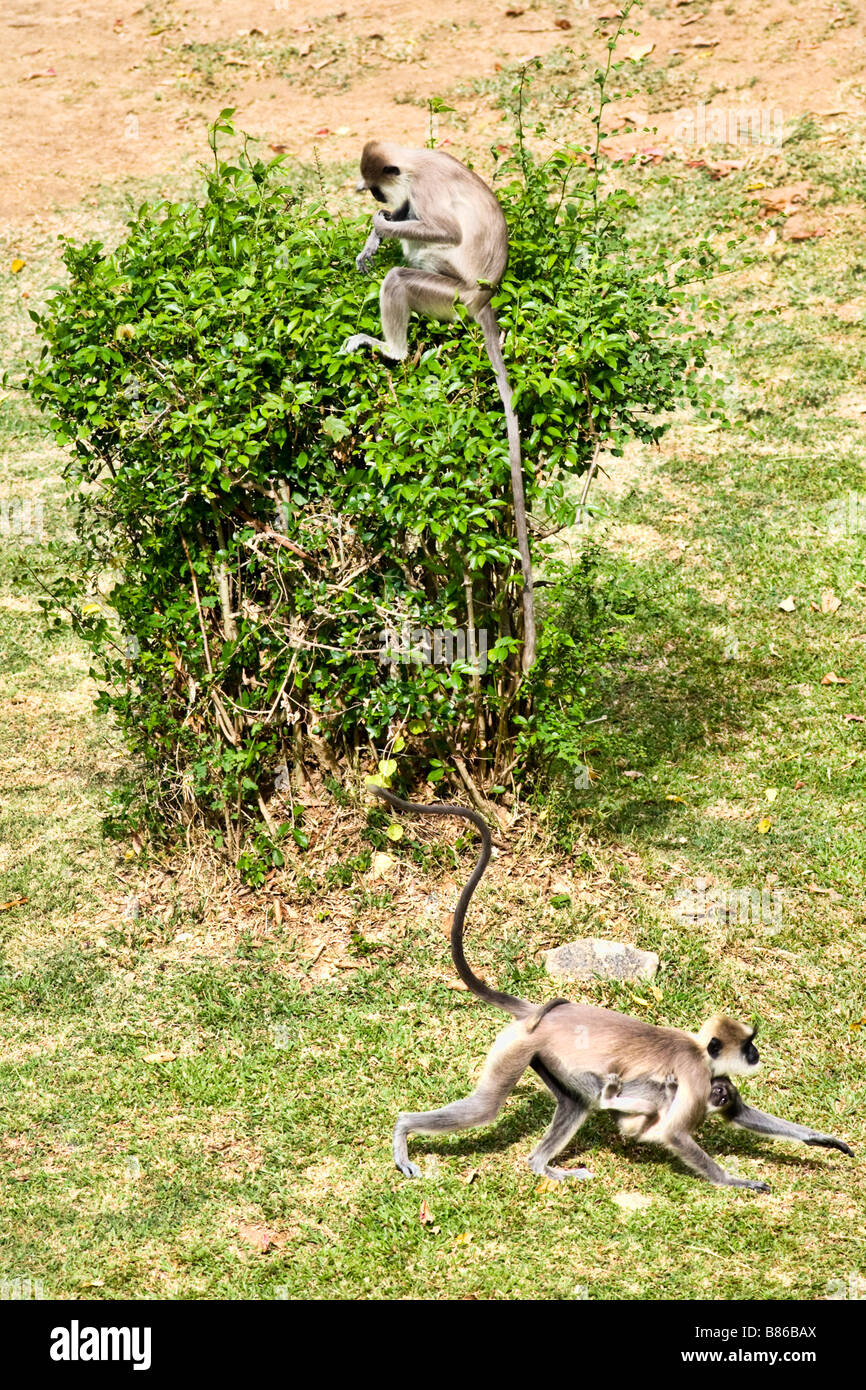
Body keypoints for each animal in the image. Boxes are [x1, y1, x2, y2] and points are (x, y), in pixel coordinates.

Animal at [340, 142, 536, 672]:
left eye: (376, 190)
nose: (379, 204)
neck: (413, 163)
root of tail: (483, 296)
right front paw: (373, 237)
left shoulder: (422, 190)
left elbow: (444, 229)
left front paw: (381, 227)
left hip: (447, 290)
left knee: (404, 271)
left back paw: (392, 351)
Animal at [369, 785, 853, 1188]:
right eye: (748, 1045)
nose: (755, 1055)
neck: (699, 1050)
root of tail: (538, 1013)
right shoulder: (697, 1076)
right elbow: (676, 1133)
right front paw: (735, 1181)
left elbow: (740, 1113)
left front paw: (822, 1140)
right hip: (518, 1048)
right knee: (489, 1107)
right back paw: (405, 1128)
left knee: (575, 1104)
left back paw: (543, 1166)